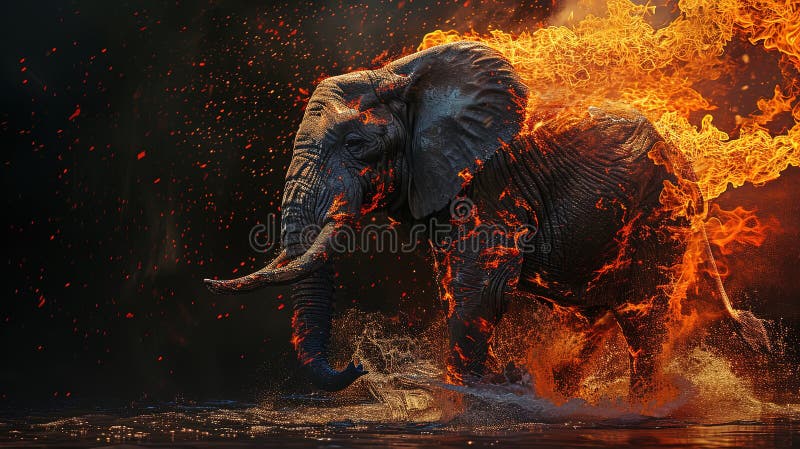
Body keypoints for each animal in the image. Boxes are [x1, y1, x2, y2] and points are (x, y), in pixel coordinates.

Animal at [204, 41, 770, 398]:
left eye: (356, 144)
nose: (359, 363)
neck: (402, 75)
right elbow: (459, 287)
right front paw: (501, 385)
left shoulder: (493, 182)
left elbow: (480, 290)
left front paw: (475, 401)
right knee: (599, 316)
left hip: (661, 220)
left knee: (643, 318)